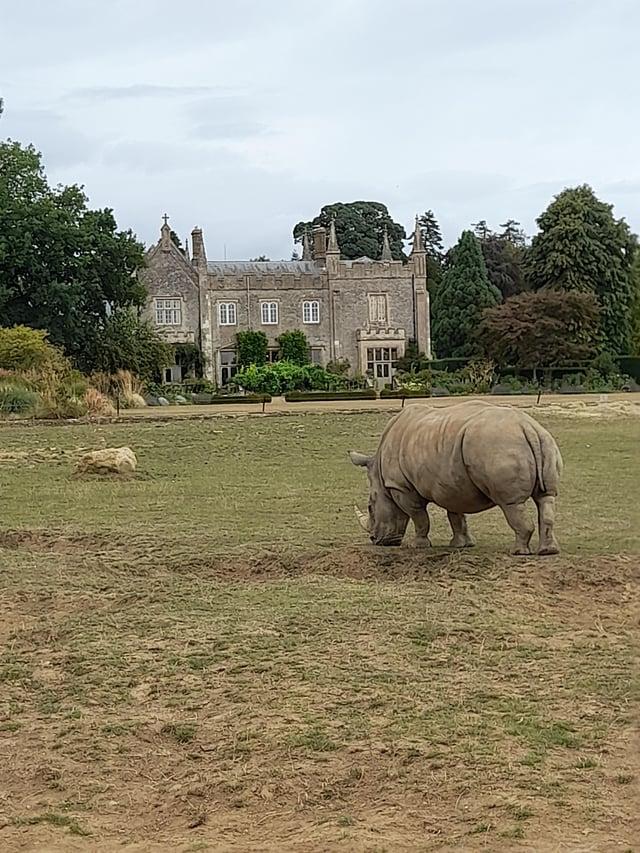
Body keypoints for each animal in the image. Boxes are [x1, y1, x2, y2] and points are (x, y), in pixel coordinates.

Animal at [349, 400, 562, 555]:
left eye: (370, 506)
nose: (375, 540)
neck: (380, 476)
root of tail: (528, 427)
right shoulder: (452, 484)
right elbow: (456, 515)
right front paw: (461, 545)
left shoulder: (400, 487)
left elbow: (419, 517)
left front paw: (416, 546)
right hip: (545, 442)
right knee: (546, 497)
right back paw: (548, 551)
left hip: (498, 446)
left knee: (510, 503)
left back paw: (518, 552)